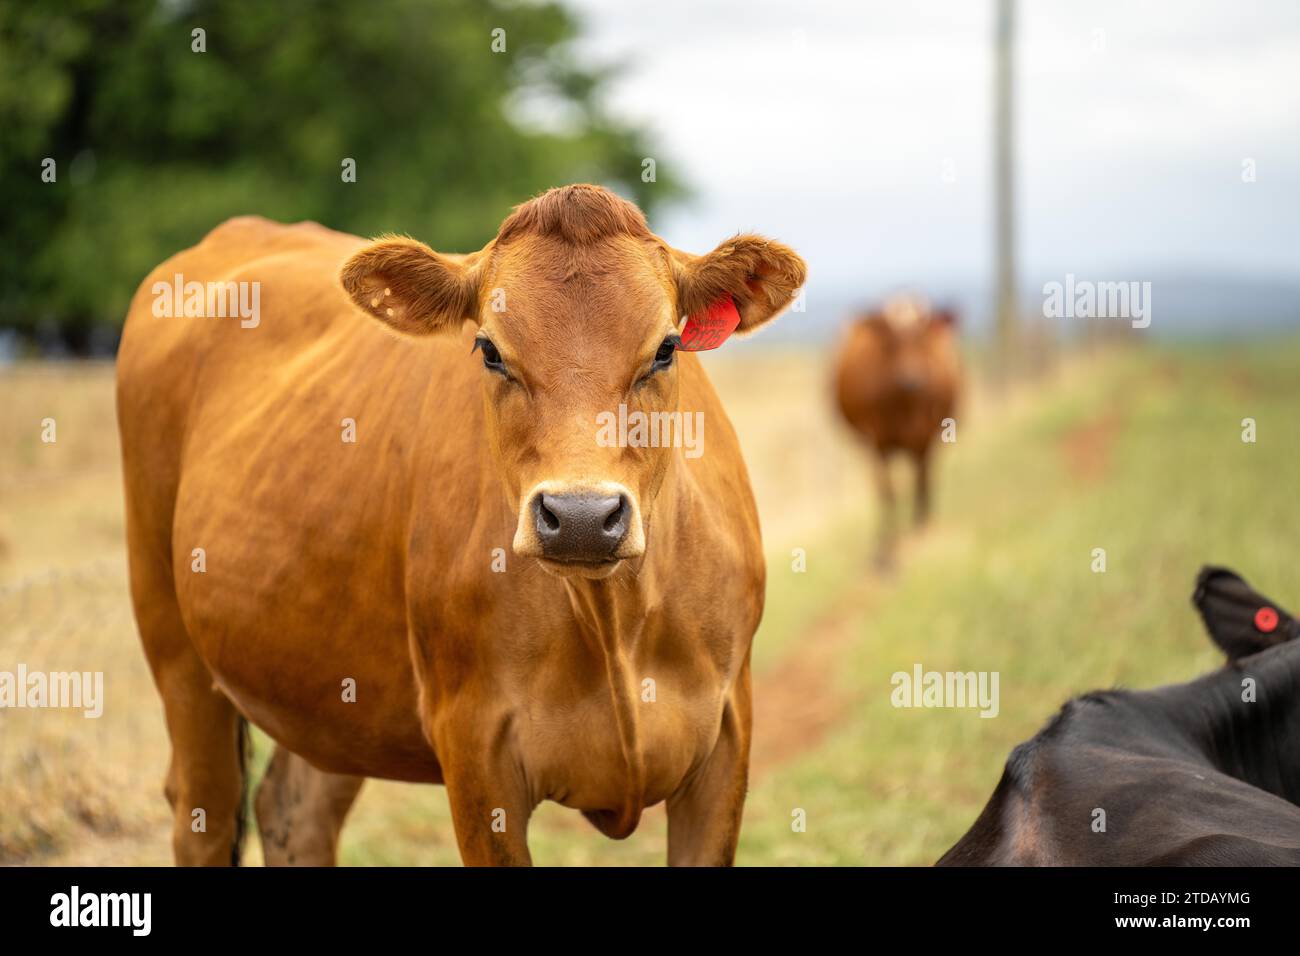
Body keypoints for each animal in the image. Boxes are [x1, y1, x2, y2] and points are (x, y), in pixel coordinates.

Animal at [115, 184, 806, 866]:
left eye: (666, 348)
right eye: (490, 350)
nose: (581, 519)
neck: (615, 623)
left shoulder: (725, 744)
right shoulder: (474, 752)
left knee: (294, 810)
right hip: (172, 642)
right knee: (201, 816)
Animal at [832, 297, 960, 566]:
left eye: (921, 340)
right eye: (890, 343)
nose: (910, 381)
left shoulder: (925, 439)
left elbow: (919, 483)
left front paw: (920, 533)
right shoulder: (876, 442)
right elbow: (887, 493)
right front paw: (885, 553)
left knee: (925, 479)